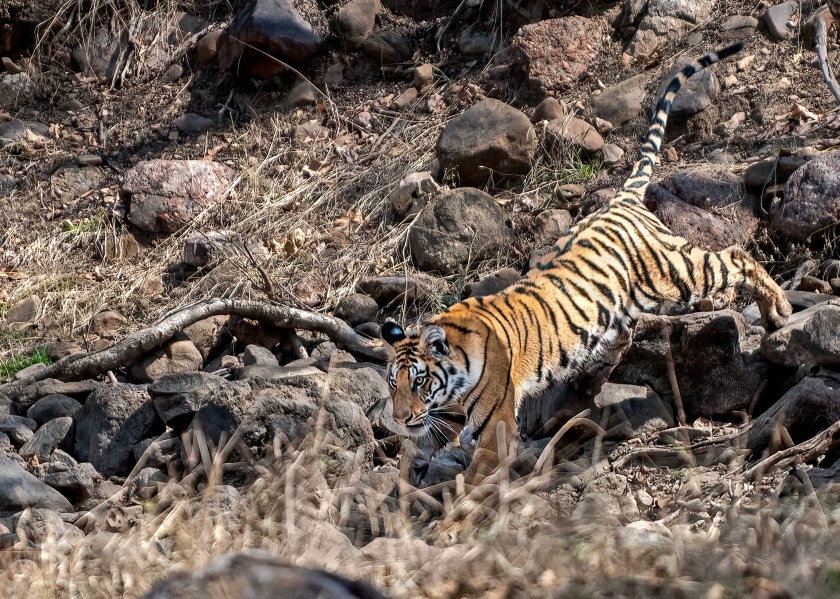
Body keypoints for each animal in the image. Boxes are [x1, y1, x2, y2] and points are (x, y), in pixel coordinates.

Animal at [380, 42, 792, 484]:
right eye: (393, 384)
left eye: (419, 382)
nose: (400, 419)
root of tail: (621, 199)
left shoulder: (496, 426)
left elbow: (474, 480)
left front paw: (458, 502)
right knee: (624, 332)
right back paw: (589, 377)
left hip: (675, 274)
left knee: (734, 257)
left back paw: (778, 309)